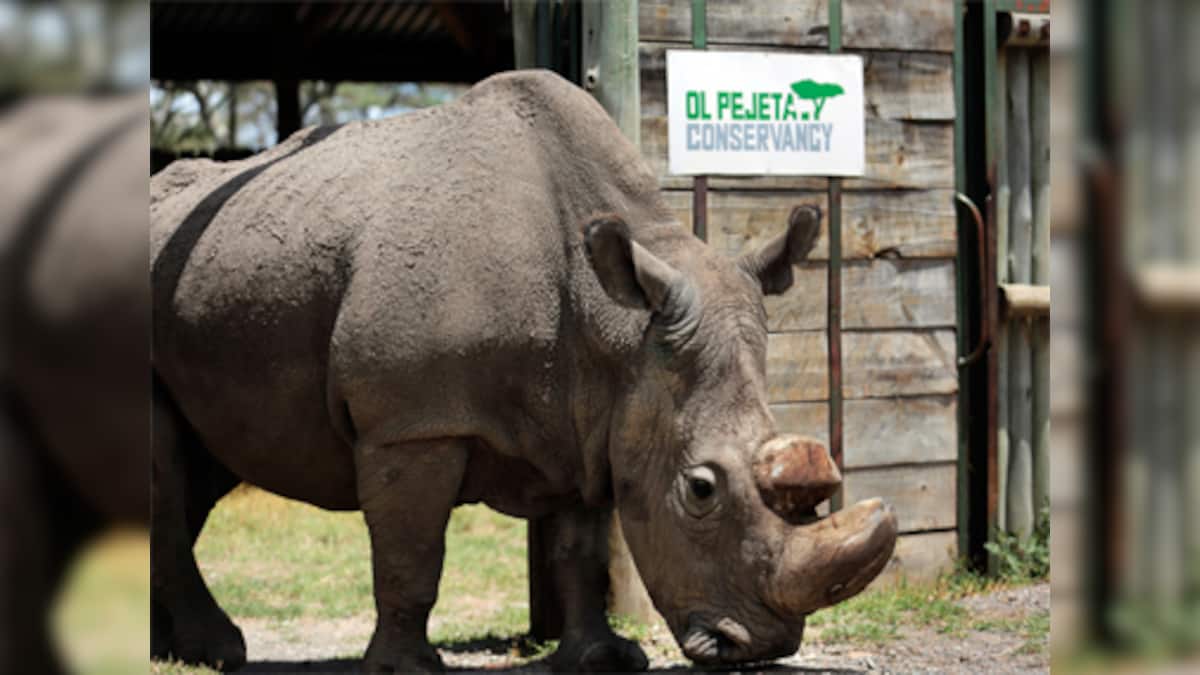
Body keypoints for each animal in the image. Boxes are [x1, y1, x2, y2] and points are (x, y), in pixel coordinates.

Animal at [150, 70, 898, 672]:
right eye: (701, 489)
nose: (761, 648)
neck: (614, 323)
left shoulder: (591, 416)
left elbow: (580, 548)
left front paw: (600, 657)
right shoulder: (413, 422)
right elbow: (411, 553)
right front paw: (406, 668)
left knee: (197, 470)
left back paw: (172, 649)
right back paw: (217, 651)